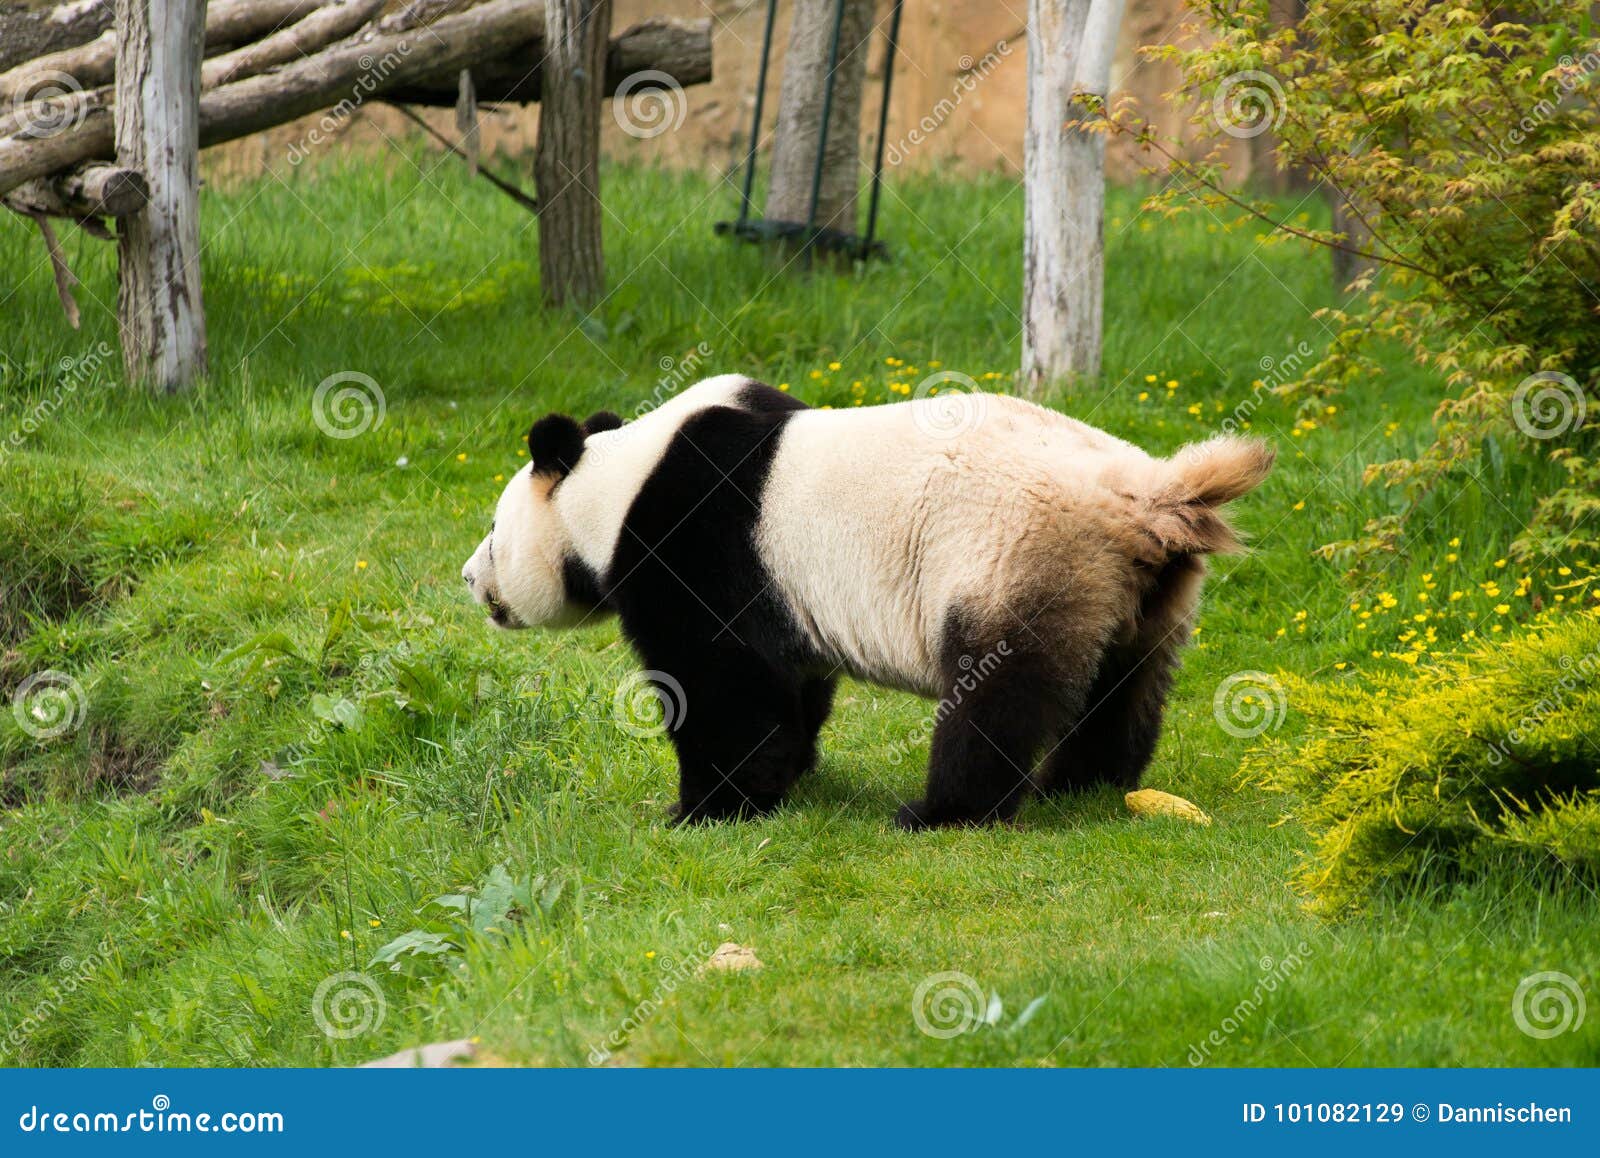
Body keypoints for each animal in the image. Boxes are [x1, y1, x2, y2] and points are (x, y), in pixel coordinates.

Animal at [462, 373, 1273, 830]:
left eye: (494, 531)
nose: (471, 581)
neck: (615, 486)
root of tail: (1151, 497)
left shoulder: (694, 540)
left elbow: (718, 683)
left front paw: (702, 809)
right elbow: (787, 683)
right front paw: (785, 774)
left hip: (1013, 553)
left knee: (997, 695)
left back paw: (943, 814)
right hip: (1144, 593)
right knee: (1124, 684)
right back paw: (1083, 785)